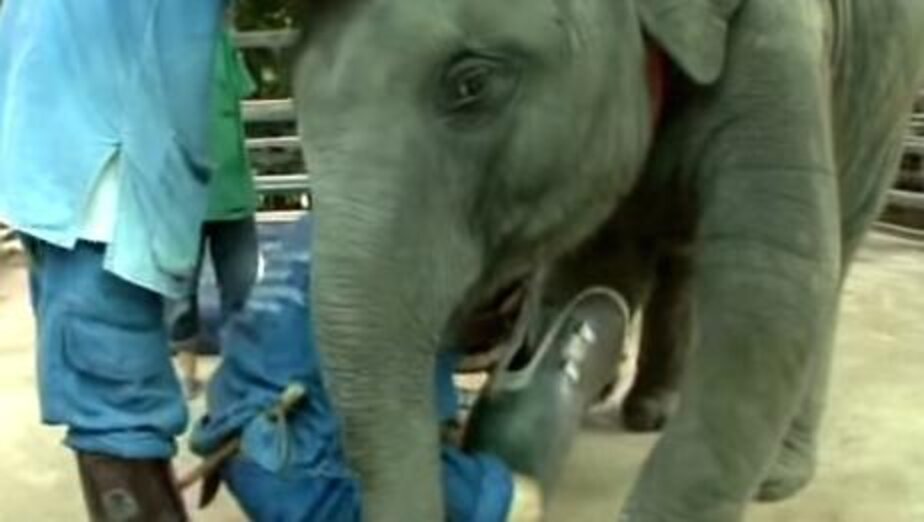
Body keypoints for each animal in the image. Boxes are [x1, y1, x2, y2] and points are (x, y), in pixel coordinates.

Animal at [291, 0, 924, 520]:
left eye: (471, 83)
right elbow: (590, 274)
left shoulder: (777, 44)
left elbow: (768, 287)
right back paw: (645, 411)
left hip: (884, 106)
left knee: (831, 262)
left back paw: (776, 479)